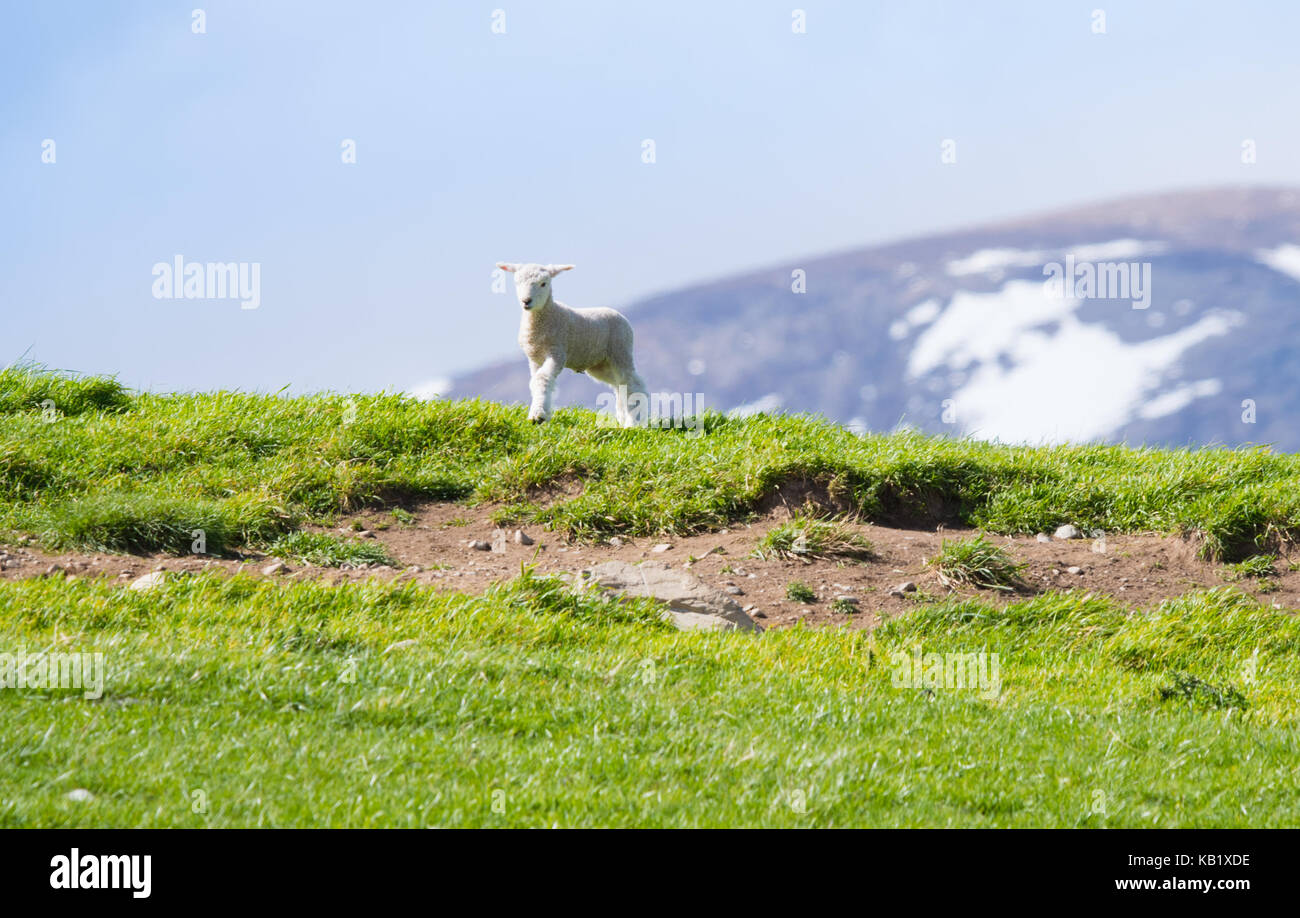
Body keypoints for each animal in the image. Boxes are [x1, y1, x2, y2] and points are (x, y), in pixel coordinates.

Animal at [496, 262, 649, 427]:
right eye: (517, 283)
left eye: (544, 283)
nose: (526, 301)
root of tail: (619, 314)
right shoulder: (534, 358)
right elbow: (537, 382)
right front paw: (542, 413)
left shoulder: (557, 352)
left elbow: (542, 378)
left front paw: (538, 416)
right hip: (600, 364)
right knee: (620, 385)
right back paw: (623, 418)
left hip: (621, 349)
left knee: (633, 383)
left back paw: (633, 423)